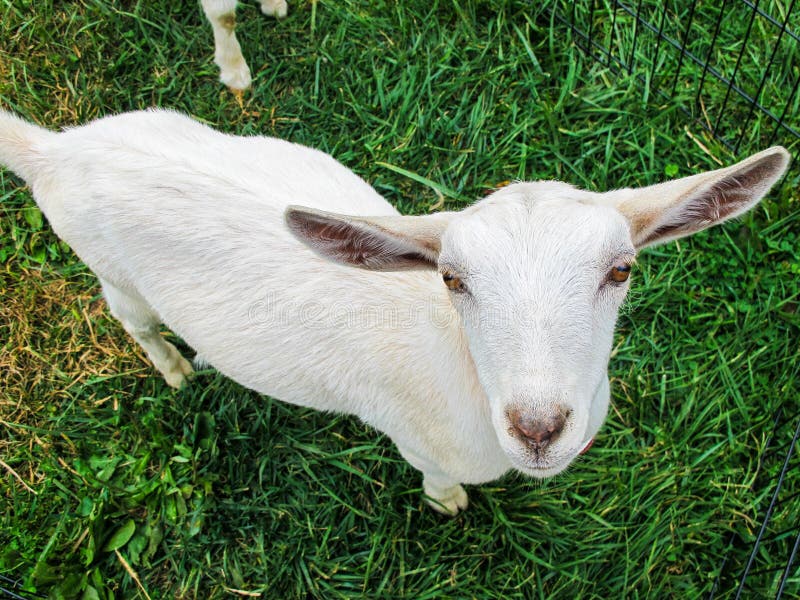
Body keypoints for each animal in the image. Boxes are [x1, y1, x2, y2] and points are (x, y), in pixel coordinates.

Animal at [0, 109, 789, 514]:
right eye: (453, 279)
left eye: (620, 269)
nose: (538, 429)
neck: (464, 372)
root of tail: (53, 149)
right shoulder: (421, 444)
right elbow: (439, 484)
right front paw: (450, 508)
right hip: (108, 267)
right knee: (130, 317)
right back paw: (174, 369)